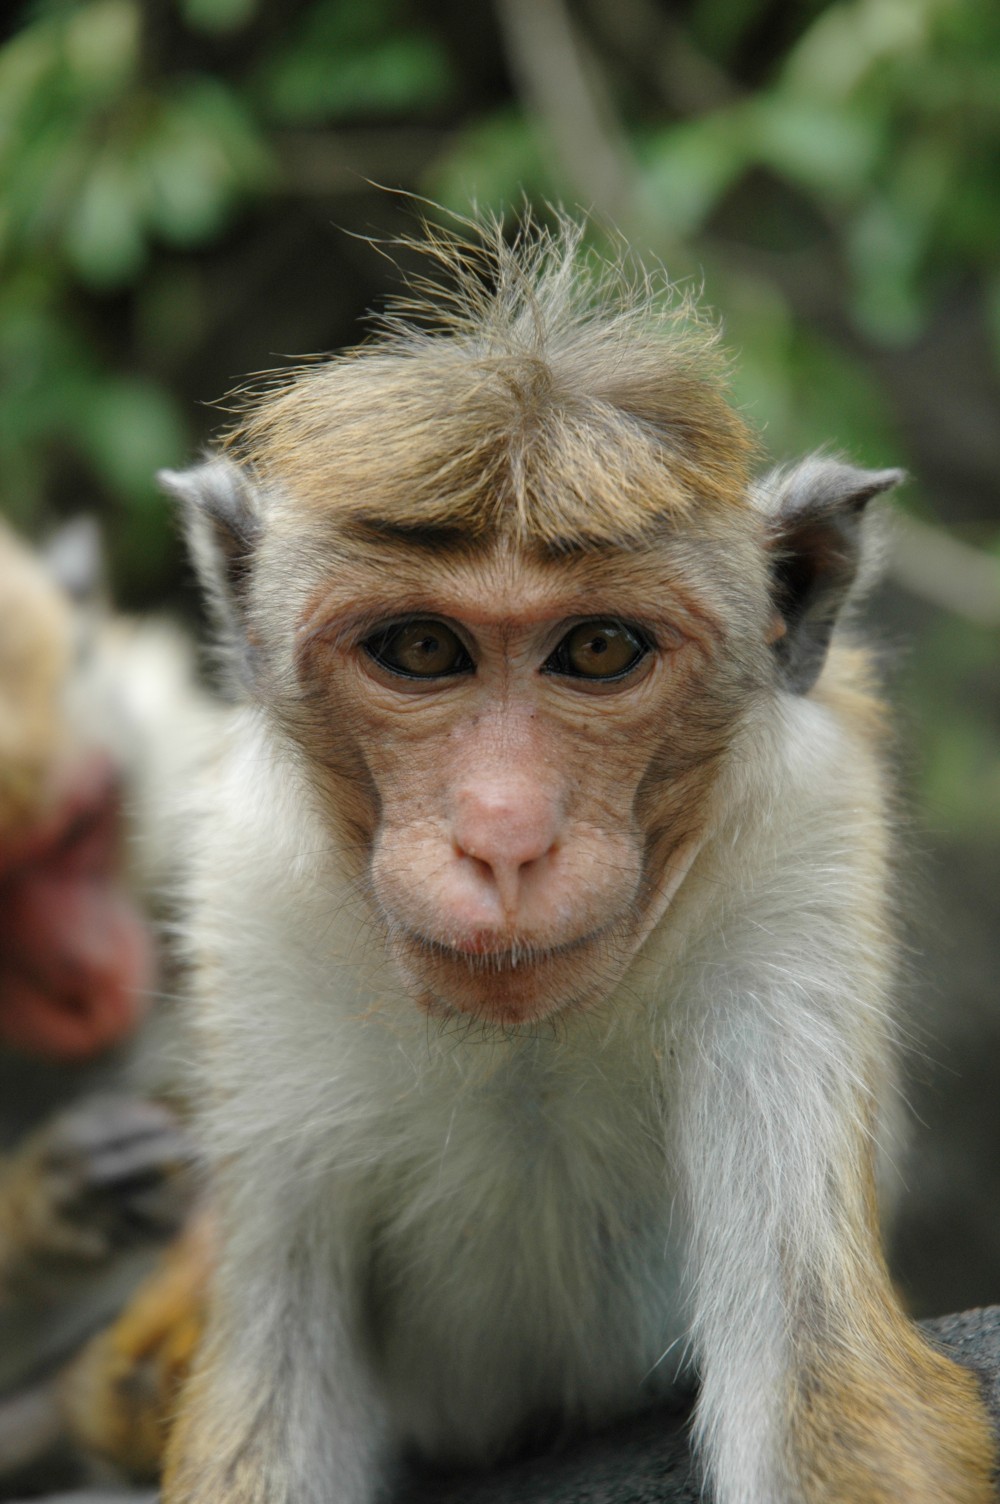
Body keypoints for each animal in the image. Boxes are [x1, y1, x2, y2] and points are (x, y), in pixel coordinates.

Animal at [156, 215, 997, 1504]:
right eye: (421, 649)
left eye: (598, 649)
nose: (504, 836)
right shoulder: (251, 905)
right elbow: (274, 1403)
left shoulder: (799, 864)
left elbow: (824, 1381)